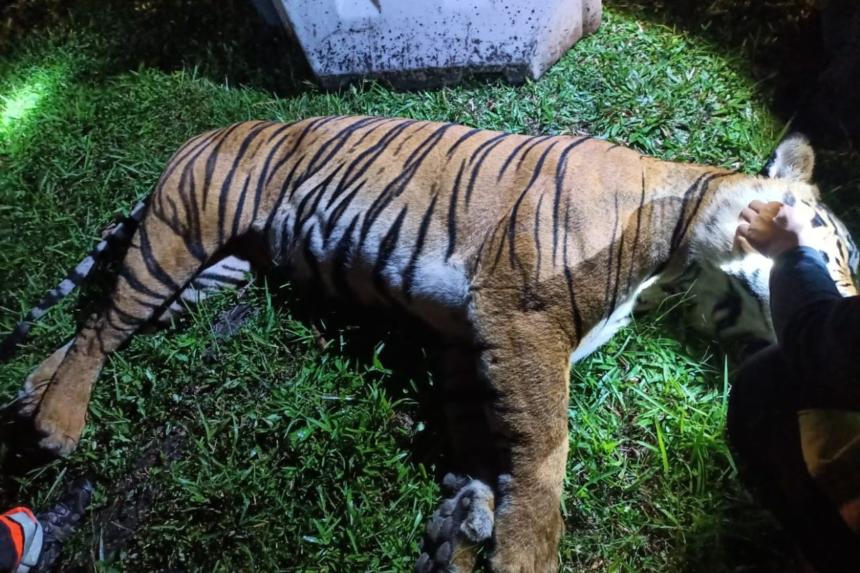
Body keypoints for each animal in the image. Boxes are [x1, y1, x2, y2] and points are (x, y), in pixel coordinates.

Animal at [1, 117, 857, 573]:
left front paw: (463, 523)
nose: (850, 307)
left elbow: (483, 437)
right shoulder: (522, 316)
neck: (677, 248)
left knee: (93, 322)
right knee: (104, 325)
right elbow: (545, 446)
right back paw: (59, 423)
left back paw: (31, 398)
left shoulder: (469, 340)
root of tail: (196, 139)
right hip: (183, 234)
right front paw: (524, 550)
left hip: (207, 277)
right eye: (845, 251)